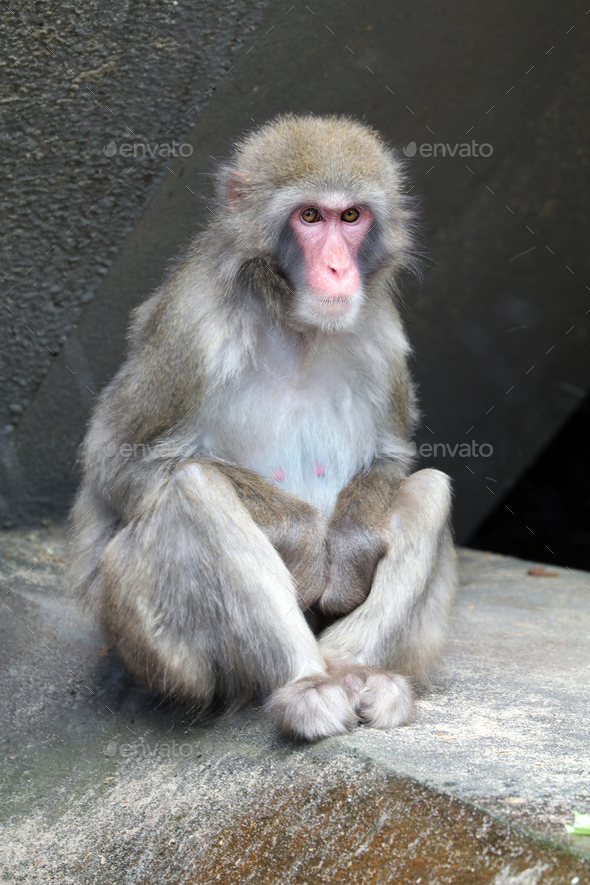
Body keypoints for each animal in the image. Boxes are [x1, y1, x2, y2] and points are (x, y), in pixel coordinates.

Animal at [68, 114, 457, 742]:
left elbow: (392, 457)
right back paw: (306, 687)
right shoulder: (192, 325)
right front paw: (305, 545)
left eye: (351, 217)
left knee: (429, 490)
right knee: (193, 490)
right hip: (151, 647)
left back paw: (354, 672)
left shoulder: (380, 326)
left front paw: (350, 548)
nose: (337, 268)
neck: (293, 322)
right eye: (310, 217)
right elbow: (118, 462)